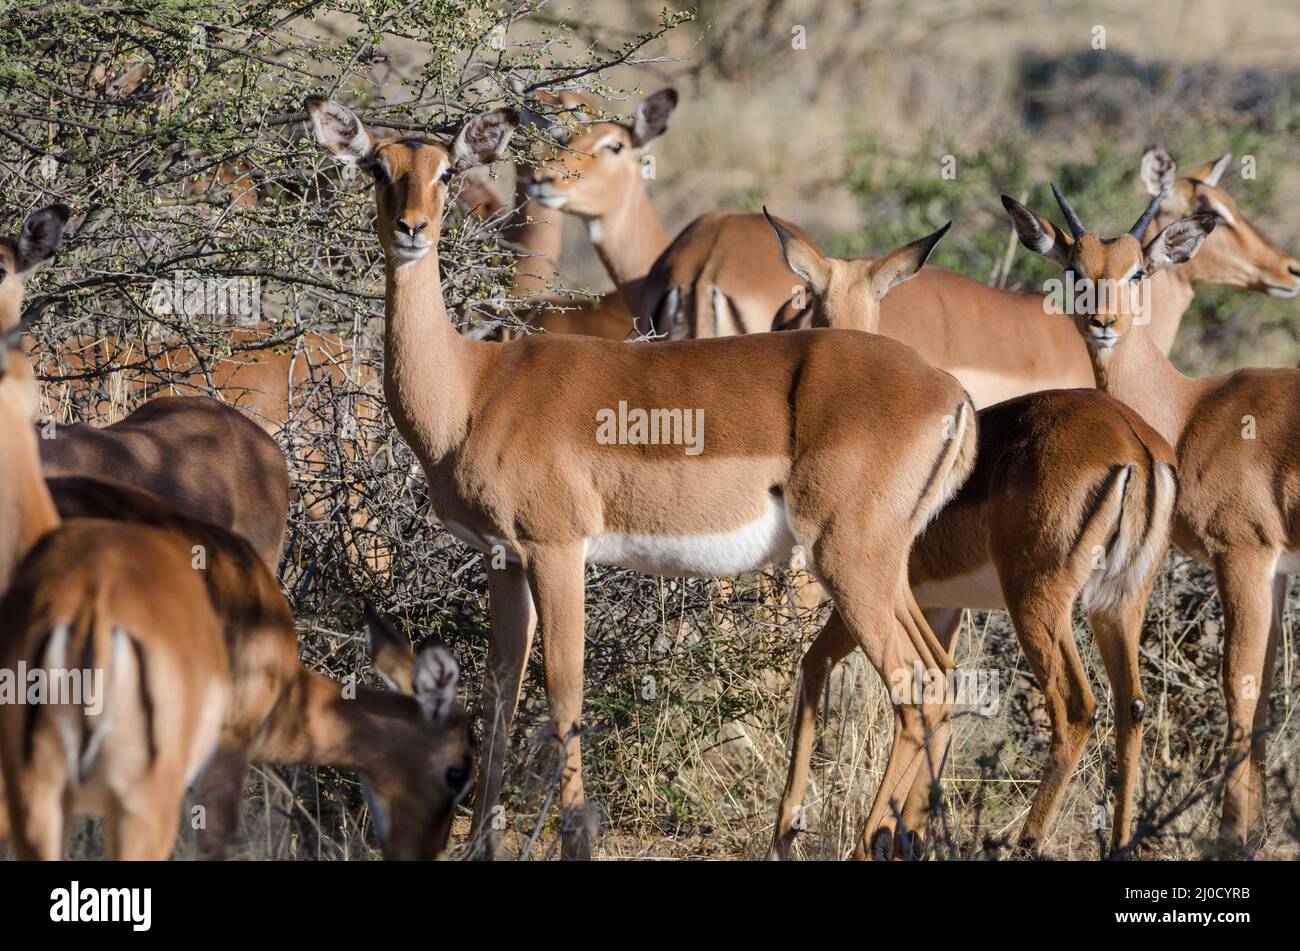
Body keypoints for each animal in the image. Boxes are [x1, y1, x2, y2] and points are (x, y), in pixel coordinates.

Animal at [307, 95, 979, 860]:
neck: (473, 388)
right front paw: (479, 843)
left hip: (850, 561)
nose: (412, 229)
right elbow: (499, 689)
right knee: (941, 678)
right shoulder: (504, 560)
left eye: (446, 170)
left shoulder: (557, 551)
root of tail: (952, 394)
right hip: (885, 570)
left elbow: (564, 691)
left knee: (916, 686)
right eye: (377, 167)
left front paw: (575, 838)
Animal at [764, 211, 1177, 859]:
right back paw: (1116, 844)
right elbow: (943, 698)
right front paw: (907, 832)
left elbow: (814, 670)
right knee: (1131, 706)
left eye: (799, 310)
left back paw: (1024, 841)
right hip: (1119, 603)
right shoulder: (938, 607)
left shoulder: (859, 598)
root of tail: (1135, 445)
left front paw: (795, 830)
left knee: (1076, 708)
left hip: (1037, 602)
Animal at [1001, 184, 1299, 854]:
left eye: (1137, 270)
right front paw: (1254, 835)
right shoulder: (1273, 569)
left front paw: (1230, 838)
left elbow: (1238, 686)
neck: (1190, 413)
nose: (1103, 323)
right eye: (1074, 268)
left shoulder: (1242, 556)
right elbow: (1264, 689)